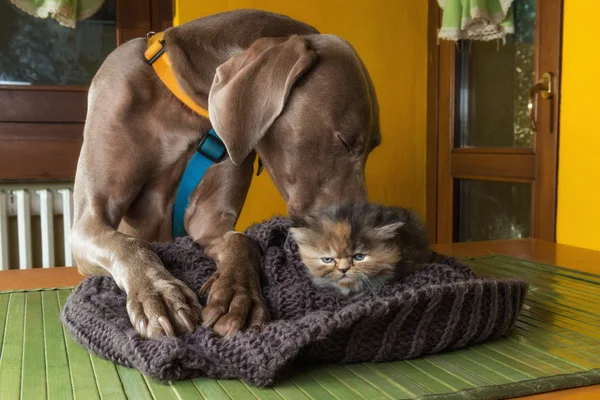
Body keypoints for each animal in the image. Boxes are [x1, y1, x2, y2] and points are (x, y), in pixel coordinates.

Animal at [70, 9, 380, 340]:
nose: (364, 254)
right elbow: (130, 244)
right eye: (344, 139)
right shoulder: (89, 219)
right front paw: (157, 292)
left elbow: (242, 242)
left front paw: (238, 296)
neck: (186, 107)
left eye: (373, 147)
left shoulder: (210, 222)